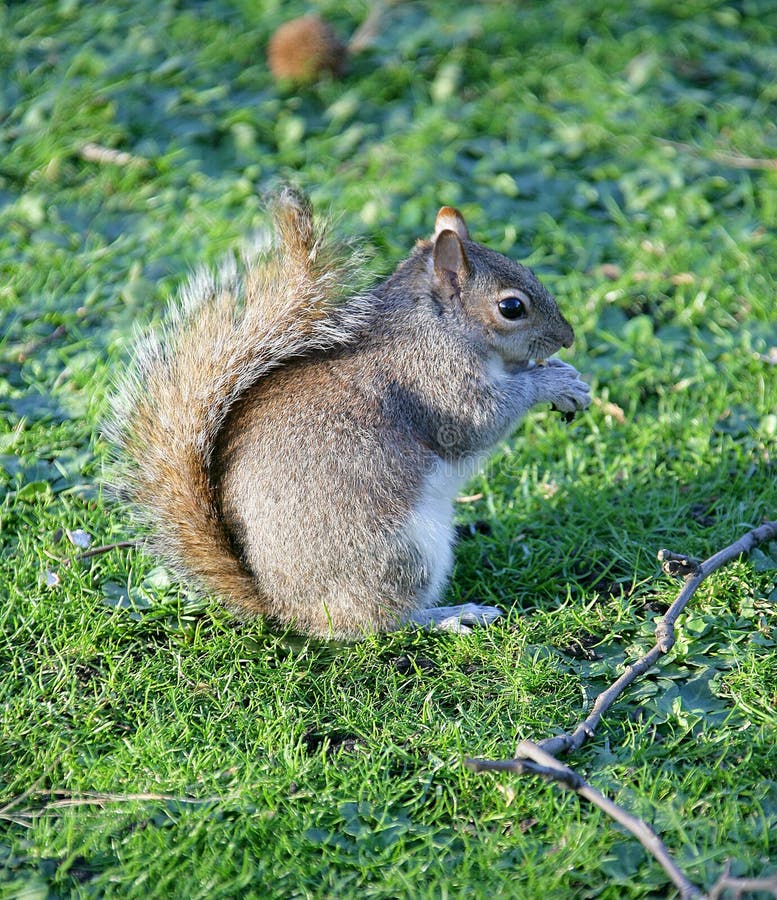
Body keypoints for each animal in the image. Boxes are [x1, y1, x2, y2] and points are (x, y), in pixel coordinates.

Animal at [106, 189, 591, 640]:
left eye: (531, 272)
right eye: (512, 307)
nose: (567, 338)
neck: (439, 325)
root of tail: (286, 608)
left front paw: (567, 376)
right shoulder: (435, 378)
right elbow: (479, 422)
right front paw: (551, 383)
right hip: (403, 553)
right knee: (384, 620)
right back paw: (451, 616)